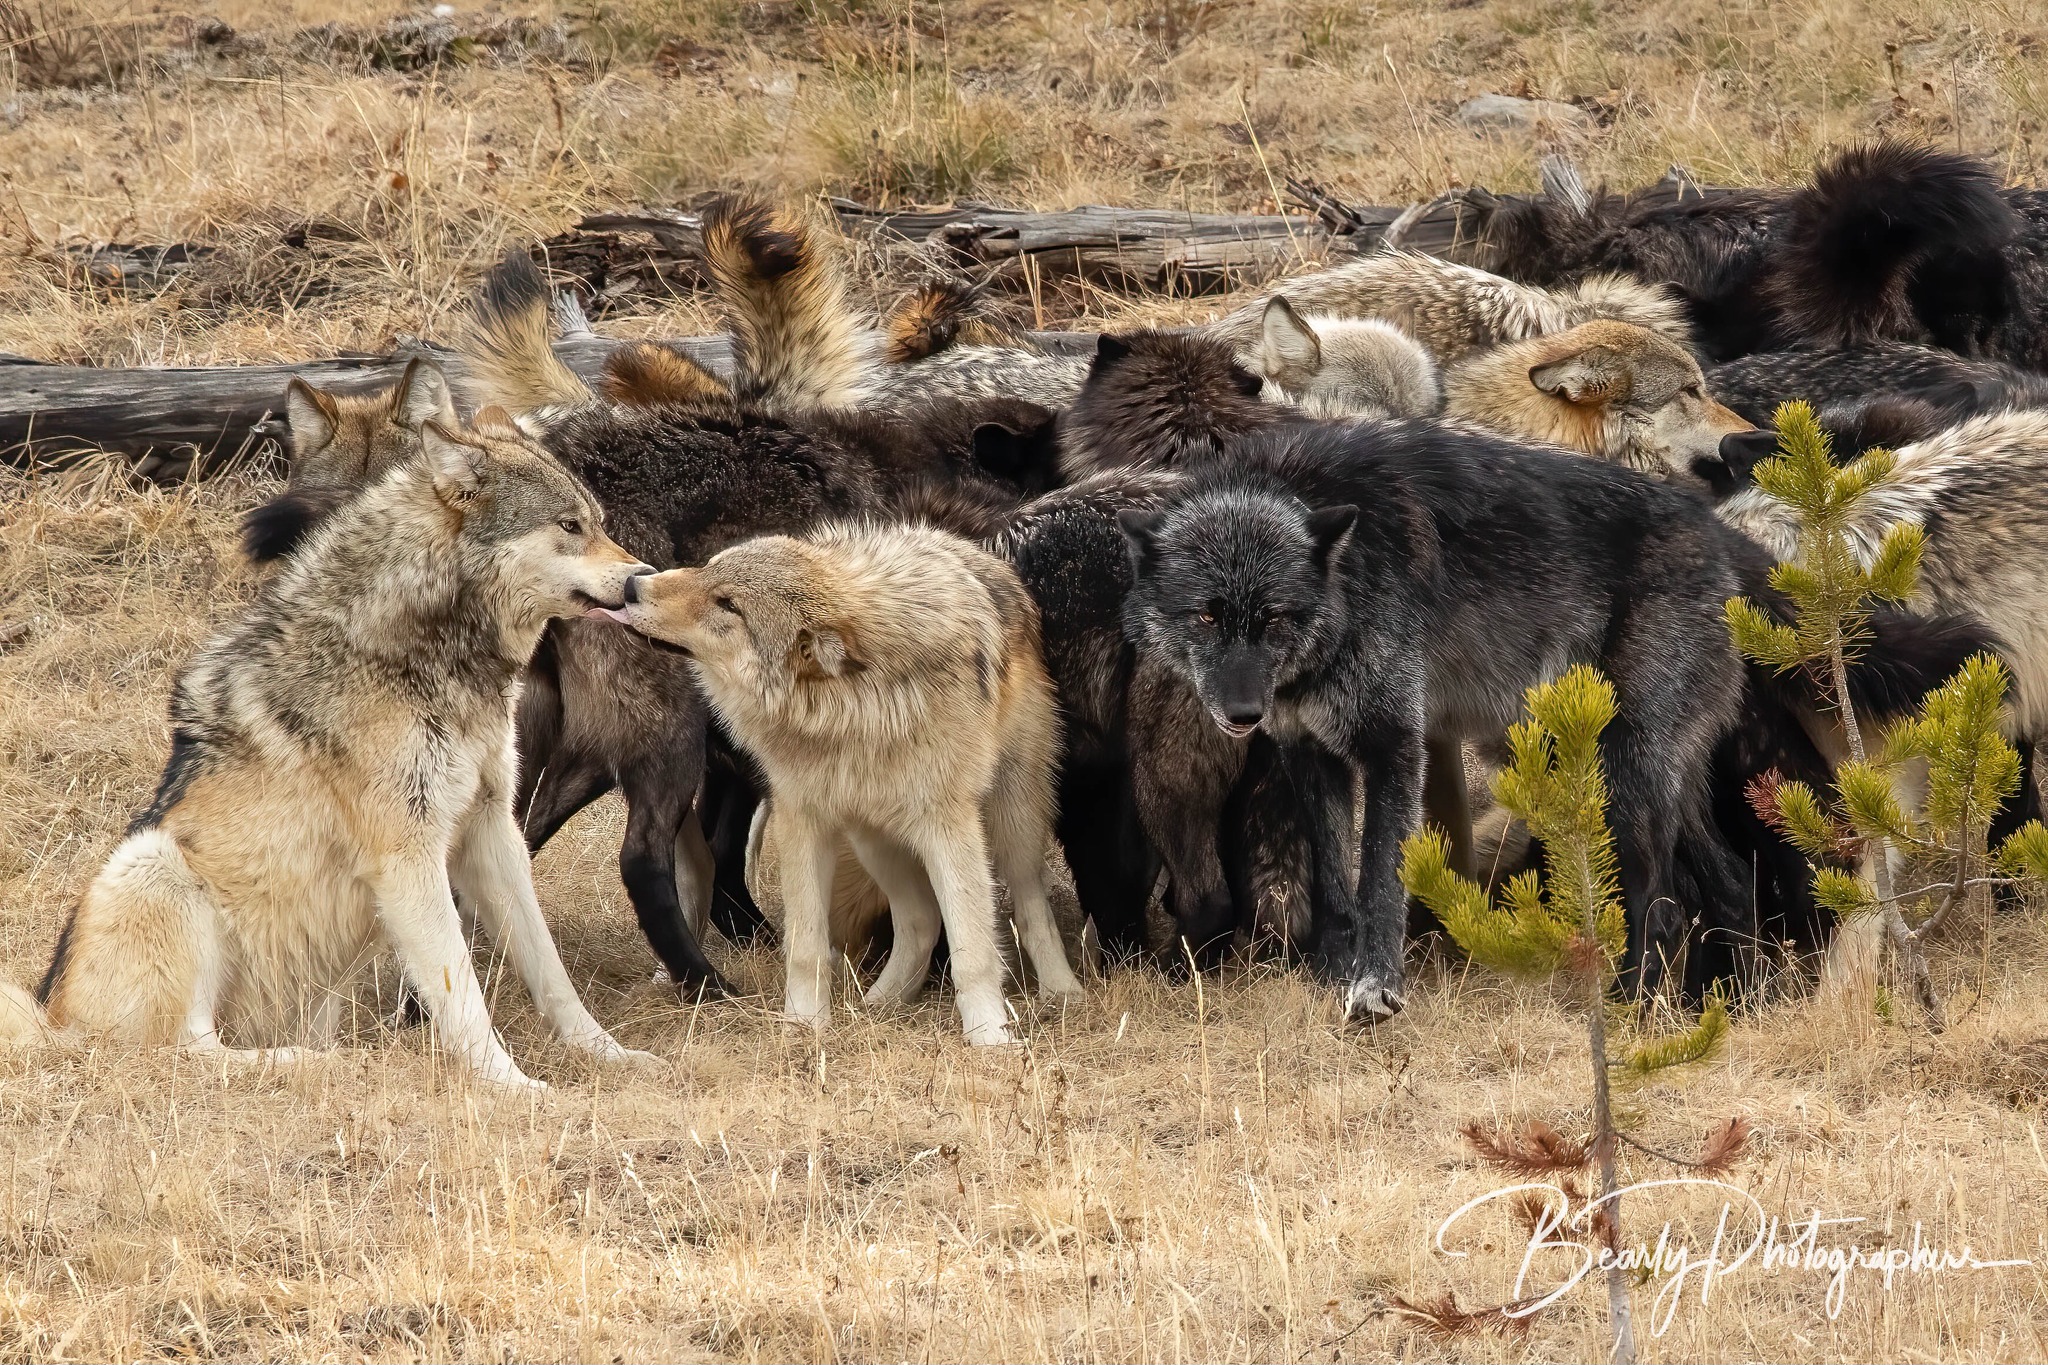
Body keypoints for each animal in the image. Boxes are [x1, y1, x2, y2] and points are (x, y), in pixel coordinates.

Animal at [1, 413, 657, 1088]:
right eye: (570, 526)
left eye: (599, 523)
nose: (642, 579)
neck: (422, 652)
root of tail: (51, 1020)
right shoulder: (407, 856)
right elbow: (463, 995)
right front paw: (512, 1085)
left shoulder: (491, 832)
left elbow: (551, 972)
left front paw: (607, 1054)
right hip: (150, 862)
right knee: (185, 1052)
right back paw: (311, 1061)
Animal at [602, 523, 1081, 1043]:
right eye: (707, 568)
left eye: (728, 605)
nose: (633, 584)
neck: (852, 713)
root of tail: (982, 554)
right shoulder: (802, 820)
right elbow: (805, 945)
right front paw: (803, 1025)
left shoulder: (949, 827)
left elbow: (973, 948)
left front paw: (990, 1038)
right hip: (873, 836)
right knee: (920, 919)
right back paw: (880, 1004)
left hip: (1012, 822)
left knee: (1030, 908)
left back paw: (1063, 990)